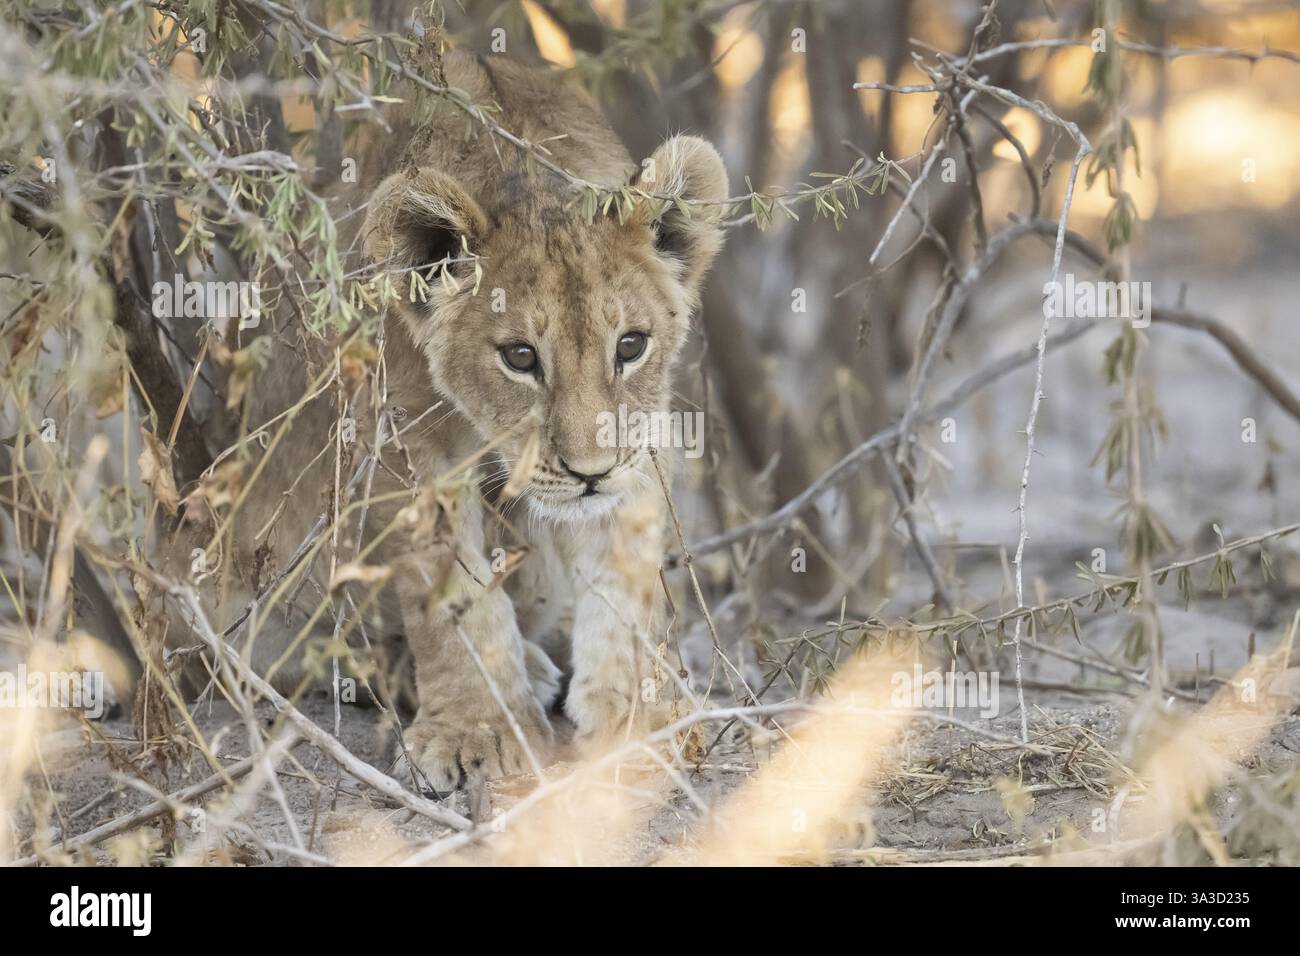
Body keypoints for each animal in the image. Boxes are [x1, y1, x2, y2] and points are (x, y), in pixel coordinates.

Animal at [161, 50, 728, 794]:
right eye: (520, 357)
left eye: (630, 346)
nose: (590, 474)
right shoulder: (401, 434)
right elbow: (451, 594)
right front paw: (478, 732)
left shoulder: (639, 433)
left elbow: (626, 573)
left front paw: (640, 715)